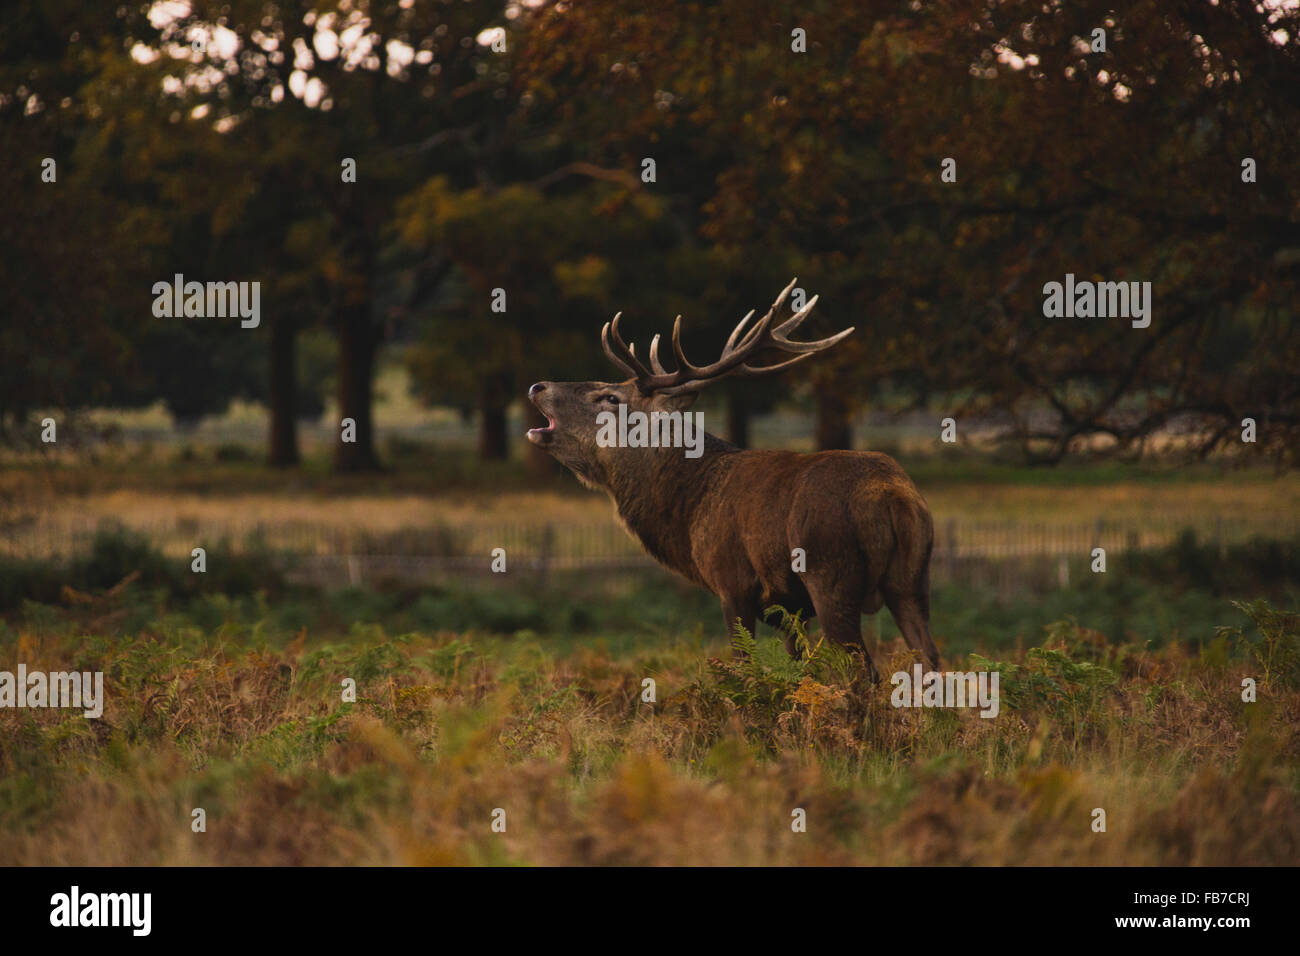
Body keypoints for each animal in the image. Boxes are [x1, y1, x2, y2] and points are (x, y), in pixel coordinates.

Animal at [526, 279, 939, 680]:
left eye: (610, 397)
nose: (538, 386)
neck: (690, 512)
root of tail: (893, 496)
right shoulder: (790, 610)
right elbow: (801, 673)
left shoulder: (732, 582)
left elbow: (747, 669)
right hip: (914, 580)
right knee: (930, 658)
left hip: (830, 573)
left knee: (862, 672)